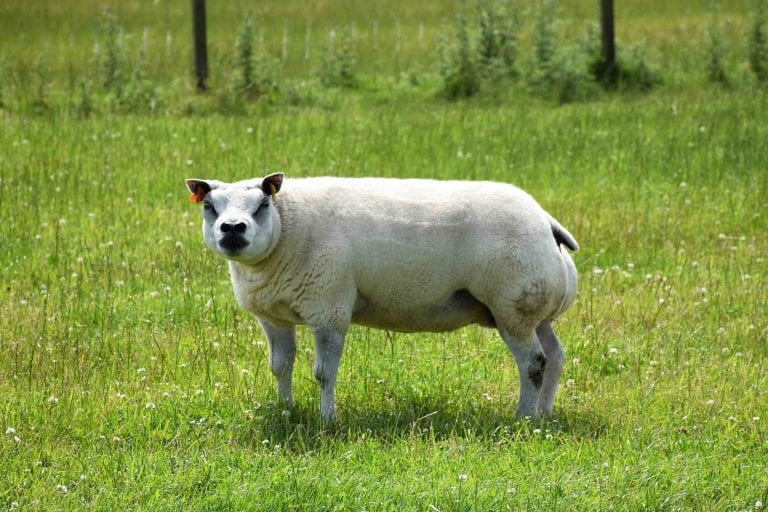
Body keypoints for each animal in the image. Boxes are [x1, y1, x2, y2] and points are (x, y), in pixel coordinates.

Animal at [185, 173, 578, 422]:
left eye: (262, 204)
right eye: (209, 206)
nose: (232, 229)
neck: (288, 226)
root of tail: (546, 221)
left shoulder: (328, 307)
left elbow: (324, 374)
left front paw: (327, 420)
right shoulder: (274, 318)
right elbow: (280, 366)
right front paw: (287, 411)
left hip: (512, 304)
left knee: (534, 362)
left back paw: (523, 417)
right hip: (531, 309)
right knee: (555, 356)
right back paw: (544, 415)